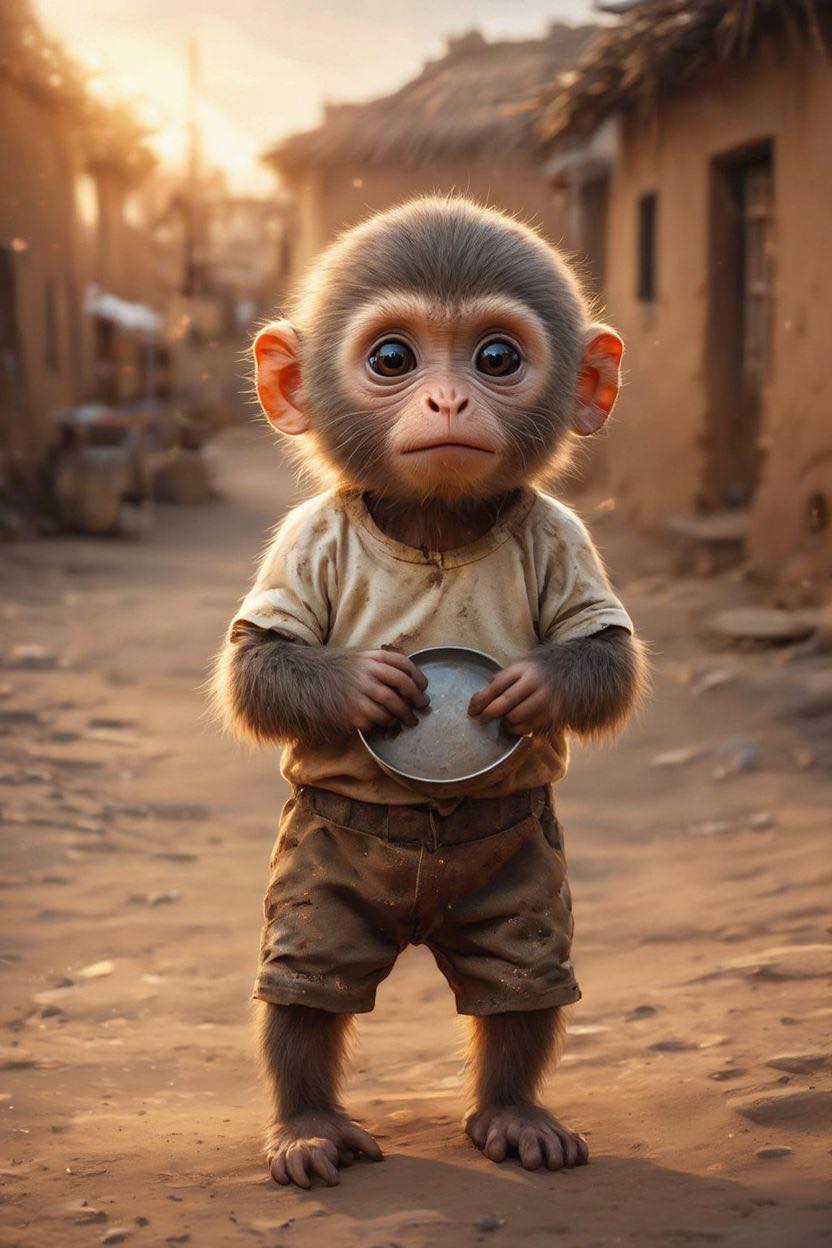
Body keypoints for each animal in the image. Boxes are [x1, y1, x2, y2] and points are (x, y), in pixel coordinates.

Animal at [214, 196, 646, 1189]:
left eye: (497, 357)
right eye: (391, 359)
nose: (448, 401)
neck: (435, 525)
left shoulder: (565, 537)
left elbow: (606, 656)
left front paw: (529, 688)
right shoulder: (306, 539)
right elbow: (259, 667)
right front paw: (363, 685)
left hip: (520, 885)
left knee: (519, 984)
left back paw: (516, 1118)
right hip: (322, 884)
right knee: (306, 992)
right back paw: (308, 1129)